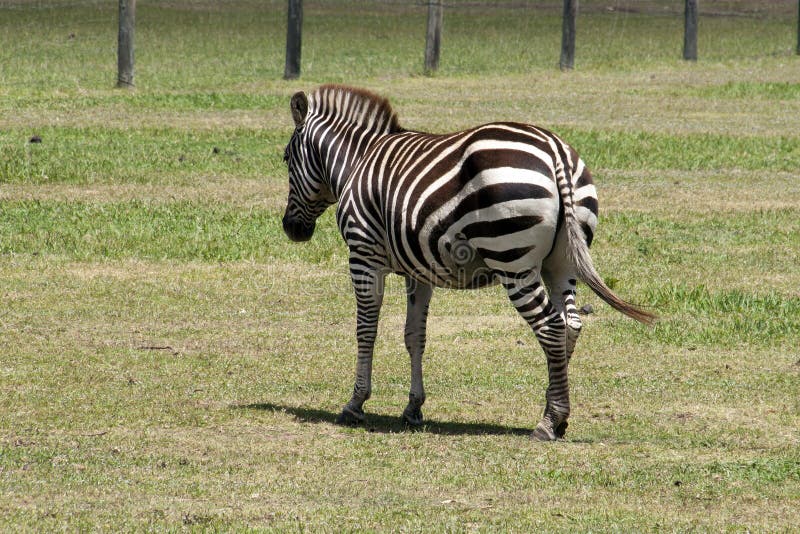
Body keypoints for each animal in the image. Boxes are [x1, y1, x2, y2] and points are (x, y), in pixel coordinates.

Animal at [281, 84, 655, 441]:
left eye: (285, 159)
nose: (291, 229)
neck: (356, 161)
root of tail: (555, 151)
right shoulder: (419, 272)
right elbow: (414, 335)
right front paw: (413, 408)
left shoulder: (364, 256)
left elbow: (366, 330)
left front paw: (355, 403)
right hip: (561, 263)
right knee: (571, 324)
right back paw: (558, 414)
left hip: (513, 260)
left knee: (551, 325)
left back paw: (549, 421)